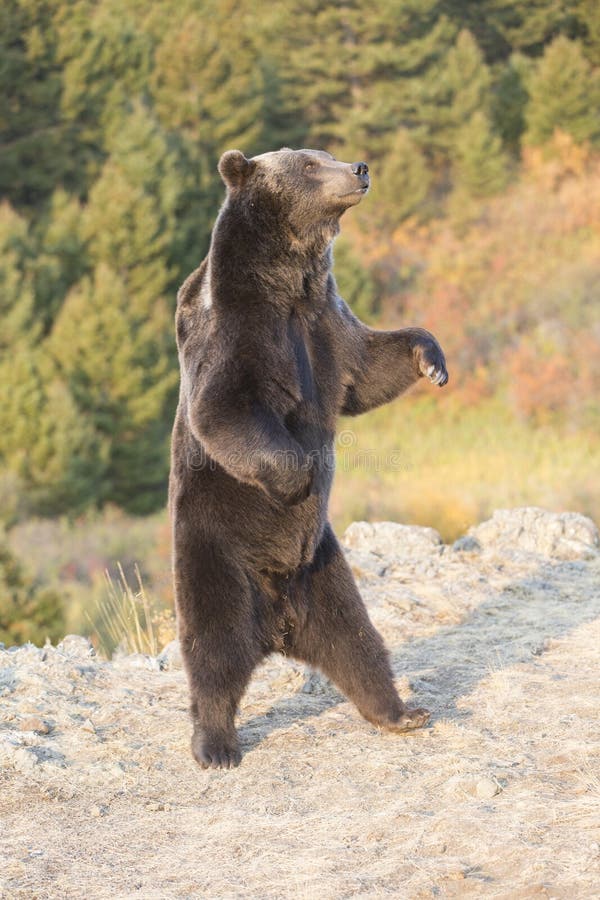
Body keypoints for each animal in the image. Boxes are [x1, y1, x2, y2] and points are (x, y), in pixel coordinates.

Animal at [169, 148, 448, 769]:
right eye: (309, 164)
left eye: (328, 154)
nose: (360, 168)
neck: (287, 283)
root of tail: (279, 627)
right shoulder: (239, 333)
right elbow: (222, 409)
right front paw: (298, 477)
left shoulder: (326, 324)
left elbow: (370, 367)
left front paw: (432, 358)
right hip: (217, 554)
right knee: (214, 650)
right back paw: (215, 744)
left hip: (323, 569)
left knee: (356, 640)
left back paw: (402, 712)